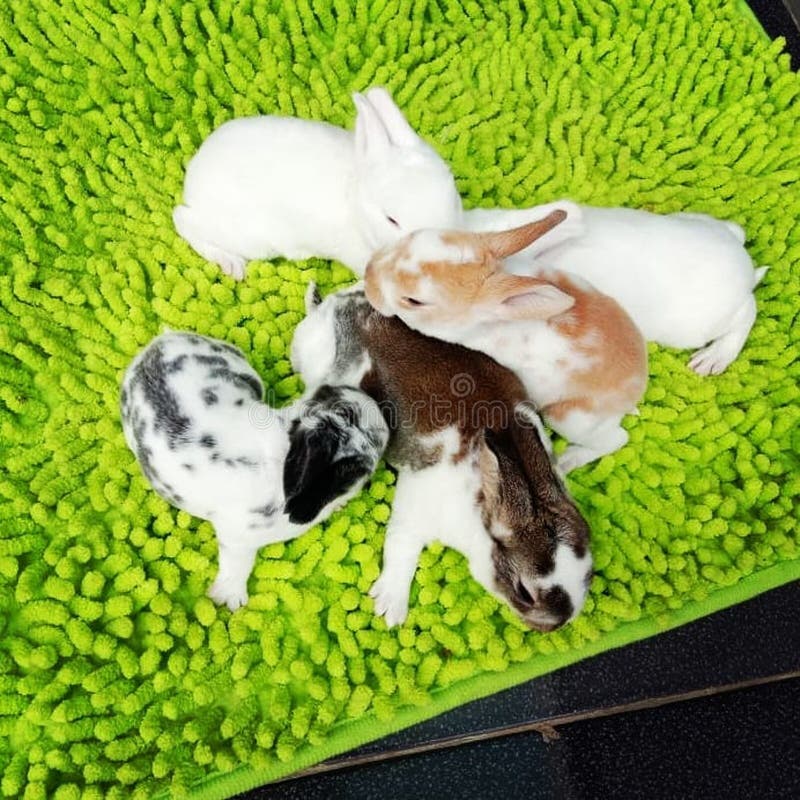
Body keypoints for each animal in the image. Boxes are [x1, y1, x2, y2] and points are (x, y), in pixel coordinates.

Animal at [120, 330, 389, 610]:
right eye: (352, 468)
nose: (376, 406)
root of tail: (161, 341)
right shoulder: (236, 539)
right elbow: (238, 564)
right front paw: (230, 598)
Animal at [173, 87, 463, 280]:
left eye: (455, 199)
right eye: (391, 220)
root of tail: (194, 175)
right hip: (246, 234)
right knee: (182, 219)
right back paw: (231, 264)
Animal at [290, 284, 593, 631]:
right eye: (525, 592)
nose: (552, 626)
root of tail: (331, 308)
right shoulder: (416, 505)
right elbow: (402, 546)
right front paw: (390, 608)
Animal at [363, 210, 648, 473]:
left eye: (414, 301)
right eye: (413, 237)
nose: (368, 277)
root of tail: (635, 389)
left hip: (569, 418)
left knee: (617, 439)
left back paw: (569, 460)